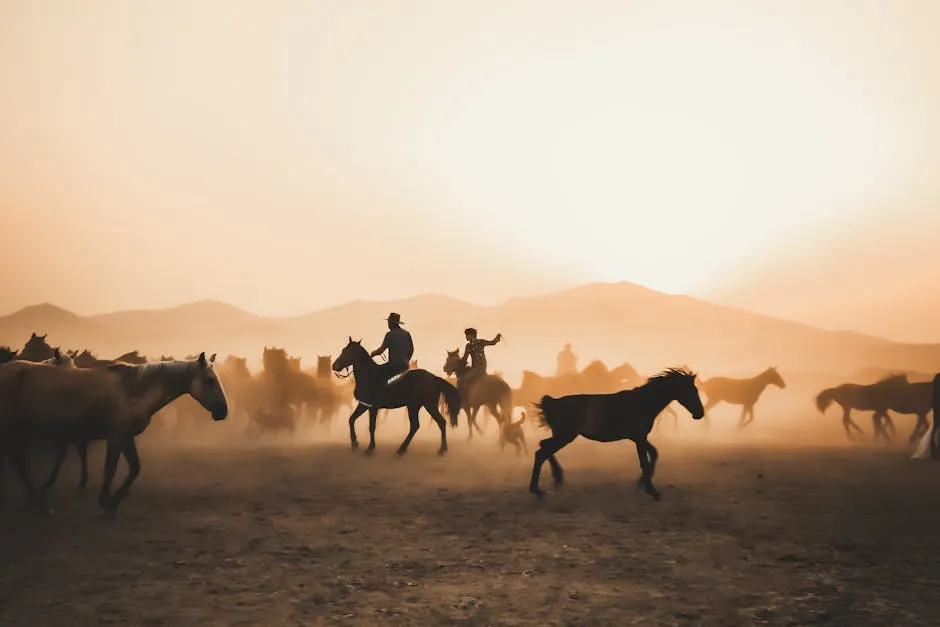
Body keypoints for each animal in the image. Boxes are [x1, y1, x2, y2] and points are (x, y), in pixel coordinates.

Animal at [0, 354, 228, 516]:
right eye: (209, 380)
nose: (223, 411)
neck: (131, 392)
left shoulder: (126, 437)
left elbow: (135, 468)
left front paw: (113, 502)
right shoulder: (117, 435)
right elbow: (111, 468)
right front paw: (106, 501)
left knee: (20, 465)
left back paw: (39, 503)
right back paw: (41, 504)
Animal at [332, 338, 460, 456]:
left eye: (347, 351)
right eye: (343, 350)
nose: (334, 366)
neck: (369, 375)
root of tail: (434, 378)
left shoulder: (373, 407)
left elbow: (371, 426)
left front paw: (370, 448)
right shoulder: (363, 405)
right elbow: (351, 419)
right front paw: (354, 442)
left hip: (427, 405)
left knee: (436, 423)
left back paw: (438, 449)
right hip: (415, 406)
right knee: (420, 425)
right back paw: (406, 448)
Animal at [528, 370, 704, 502]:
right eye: (691, 390)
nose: (700, 414)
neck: (642, 403)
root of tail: (553, 402)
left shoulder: (639, 437)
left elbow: (654, 454)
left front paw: (642, 483)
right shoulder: (639, 438)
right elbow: (644, 462)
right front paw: (652, 491)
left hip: (562, 435)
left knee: (543, 447)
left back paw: (555, 479)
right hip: (565, 436)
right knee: (542, 452)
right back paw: (538, 490)